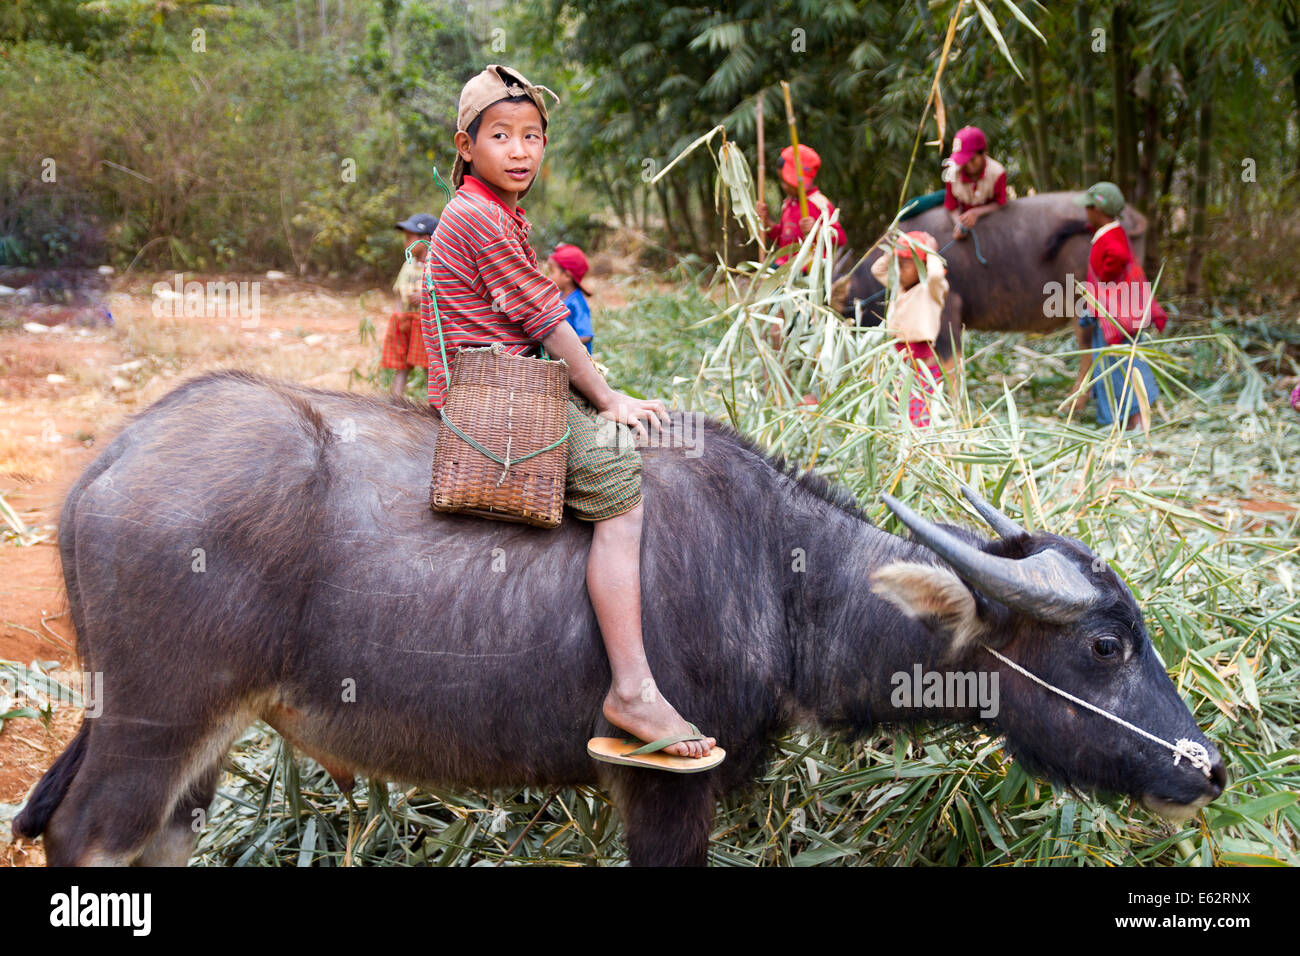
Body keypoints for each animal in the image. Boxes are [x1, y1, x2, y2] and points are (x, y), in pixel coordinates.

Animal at [13, 369, 1223, 866]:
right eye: (1104, 643)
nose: (1207, 766)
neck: (776, 574)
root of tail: (104, 468)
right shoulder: (664, 790)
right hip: (154, 724)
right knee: (87, 835)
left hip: (194, 743)